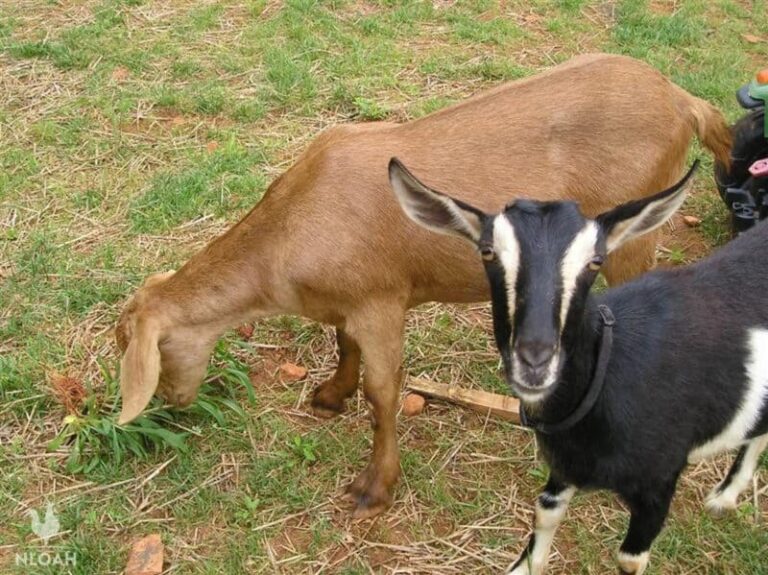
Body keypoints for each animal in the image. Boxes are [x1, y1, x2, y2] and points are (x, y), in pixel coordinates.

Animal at [115, 53, 731, 519]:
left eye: (146, 353)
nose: (172, 403)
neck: (289, 234)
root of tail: (686, 102)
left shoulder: (382, 302)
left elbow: (383, 392)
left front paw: (373, 488)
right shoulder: (353, 301)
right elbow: (344, 346)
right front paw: (329, 396)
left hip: (633, 239)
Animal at [389, 158, 768, 574]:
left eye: (596, 261)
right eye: (487, 252)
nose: (535, 361)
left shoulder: (659, 481)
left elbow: (630, 559)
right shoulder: (564, 464)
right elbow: (545, 512)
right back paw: (725, 497)